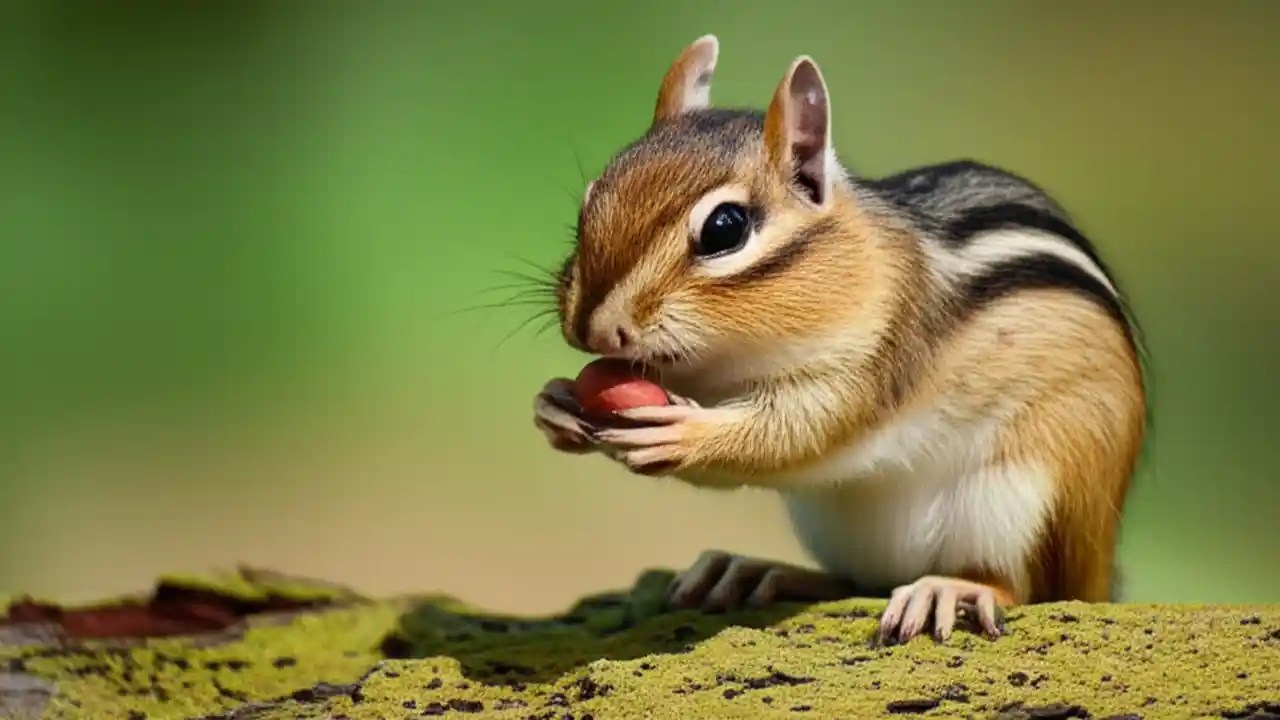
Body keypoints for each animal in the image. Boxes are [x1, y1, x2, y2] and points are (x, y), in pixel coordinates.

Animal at [532, 35, 1147, 645]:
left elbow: (800, 430)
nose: (592, 327)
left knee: (1018, 586)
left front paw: (686, 433)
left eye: (725, 228)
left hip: (1026, 498)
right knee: (854, 581)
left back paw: (952, 589)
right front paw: (554, 404)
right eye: (591, 199)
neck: (732, 359)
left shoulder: (881, 351)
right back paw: (756, 571)